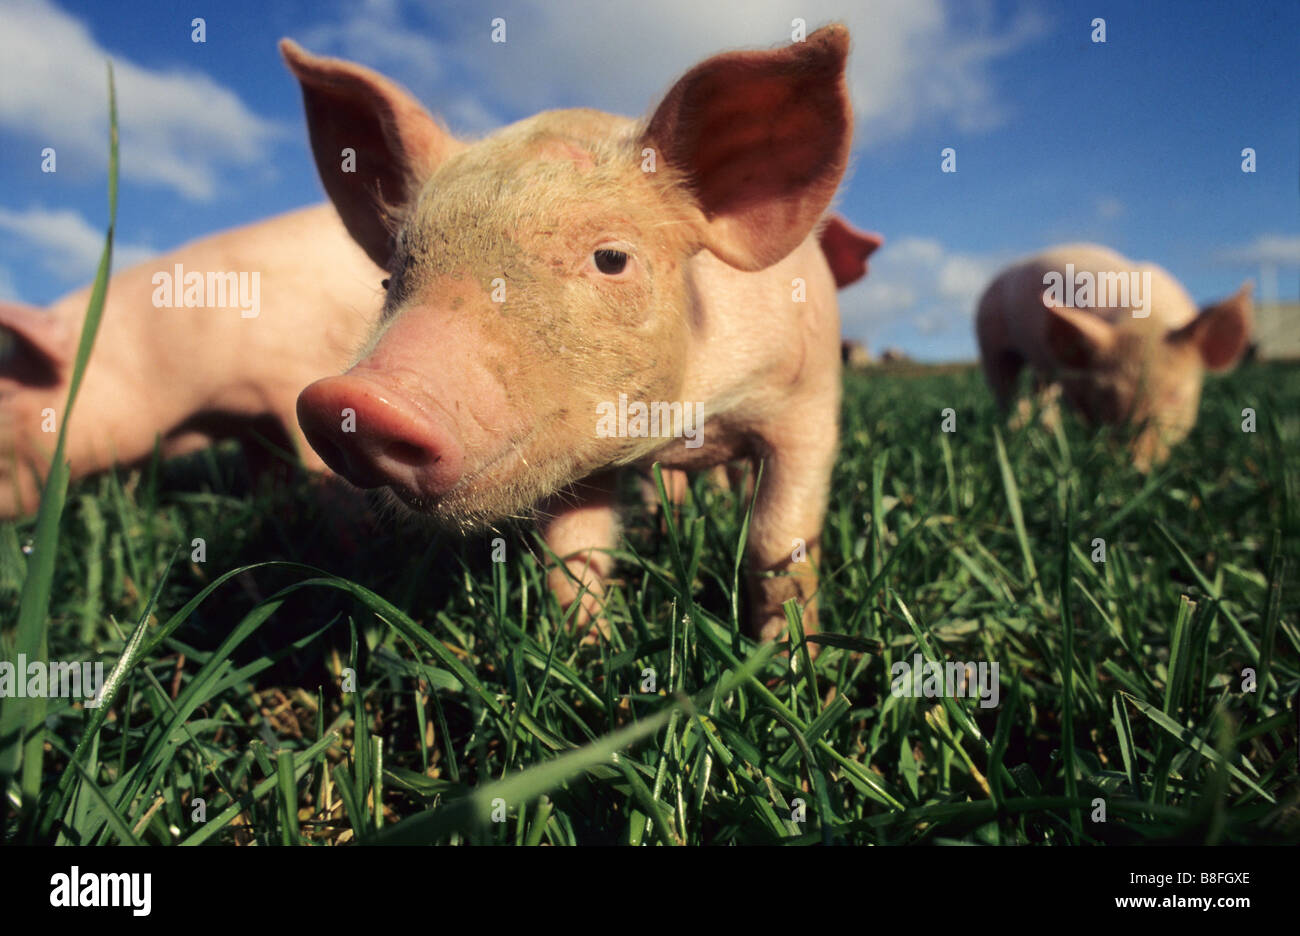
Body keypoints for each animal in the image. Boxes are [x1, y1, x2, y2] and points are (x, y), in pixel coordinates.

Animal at [283, 25, 858, 644]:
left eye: (611, 259)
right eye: (392, 275)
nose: (357, 399)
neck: (680, 421)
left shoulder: (808, 401)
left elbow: (780, 542)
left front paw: (789, 655)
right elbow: (575, 556)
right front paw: (590, 645)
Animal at [975, 244, 1253, 469]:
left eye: (1175, 396)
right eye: (1107, 395)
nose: (1136, 464)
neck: (1141, 322)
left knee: (1039, 391)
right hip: (989, 340)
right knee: (1005, 387)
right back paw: (1015, 430)